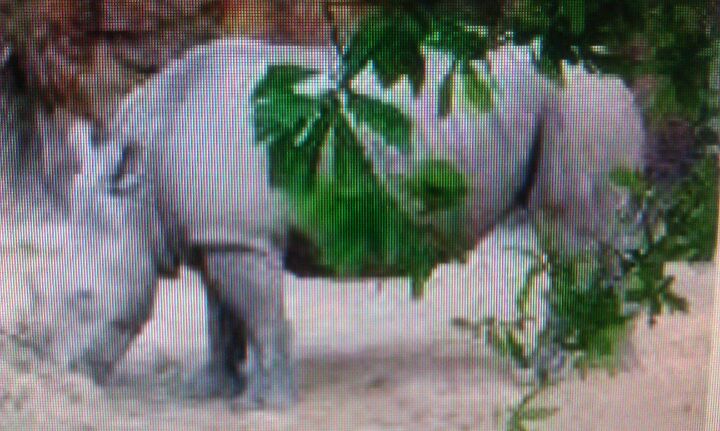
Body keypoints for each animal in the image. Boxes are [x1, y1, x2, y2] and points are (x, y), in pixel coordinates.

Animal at [79, 36, 647, 408]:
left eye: (82, 298)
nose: (68, 381)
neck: (140, 183)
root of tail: (625, 85)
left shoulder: (238, 237)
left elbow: (260, 316)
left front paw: (263, 408)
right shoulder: (220, 235)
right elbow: (221, 316)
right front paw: (205, 394)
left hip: (577, 105)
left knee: (569, 243)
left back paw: (544, 379)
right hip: (581, 106)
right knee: (600, 244)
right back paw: (608, 372)